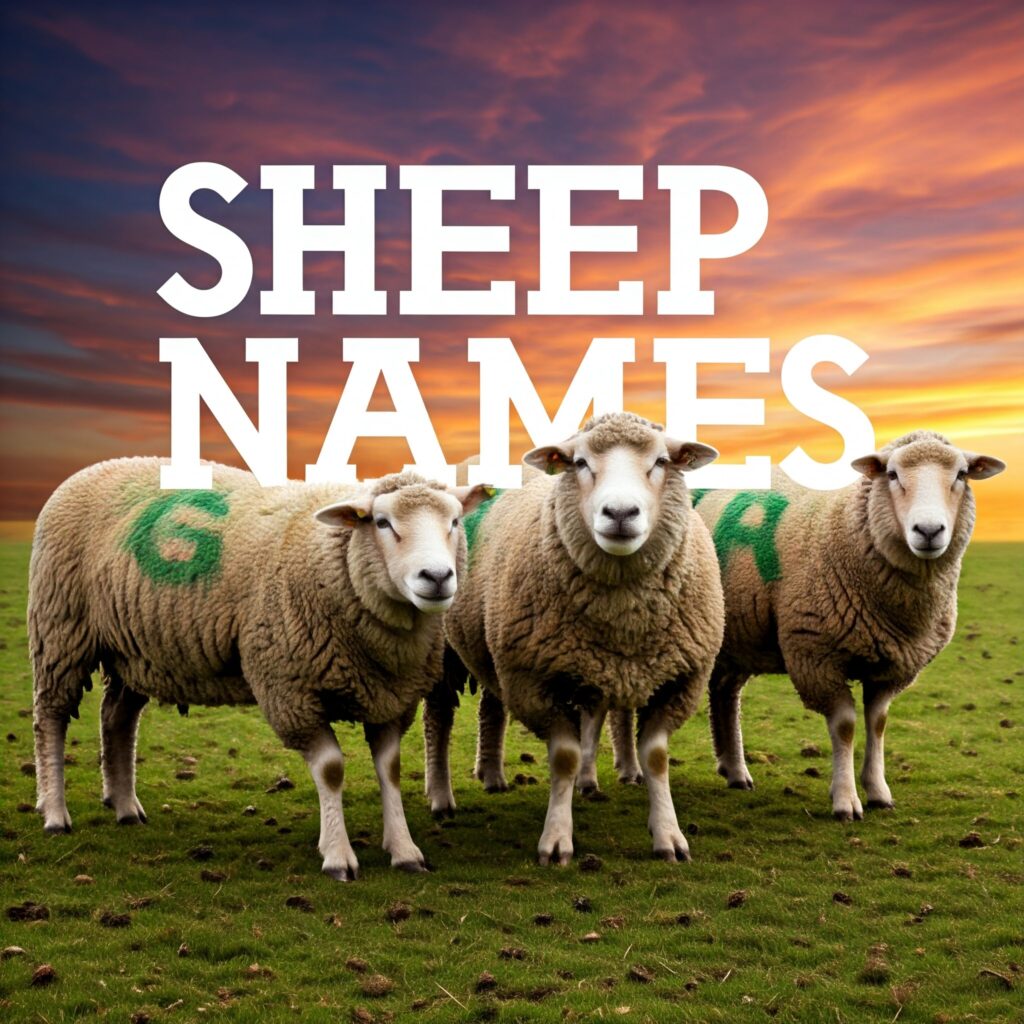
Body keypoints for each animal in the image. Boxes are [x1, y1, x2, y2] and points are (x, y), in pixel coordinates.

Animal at [29, 457, 491, 879]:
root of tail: (92, 468)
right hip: (61, 629)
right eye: (381, 522)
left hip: (132, 648)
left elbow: (390, 770)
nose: (437, 576)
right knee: (50, 718)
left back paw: (125, 807)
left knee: (117, 718)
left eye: (454, 521)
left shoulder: (389, 694)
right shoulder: (290, 688)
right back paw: (55, 814)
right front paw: (338, 856)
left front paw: (404, 850)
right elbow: (331, 770)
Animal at [439, 412, 725, 864]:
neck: (624, 614)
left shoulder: (681, 679)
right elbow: (565, 756)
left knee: (494, 705)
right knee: (438, 718)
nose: (621, 512)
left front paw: (668, 835)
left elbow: (656, 757)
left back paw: (496, 775)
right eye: (580, 462)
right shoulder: (533, 681)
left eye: (661, 461)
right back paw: (441, 798)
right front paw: (556, 839)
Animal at [608, 430, 1005, 822]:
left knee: (724, 693)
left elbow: (877, 723)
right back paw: (630, 769)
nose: (929, 530)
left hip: (735, 636)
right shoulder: (816, 653)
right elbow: (845, 726)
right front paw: (845, 800)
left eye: (961, 475)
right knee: (626, 700)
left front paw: (878, 792)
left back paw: (735, 770)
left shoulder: (891, 667)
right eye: (891, 474)